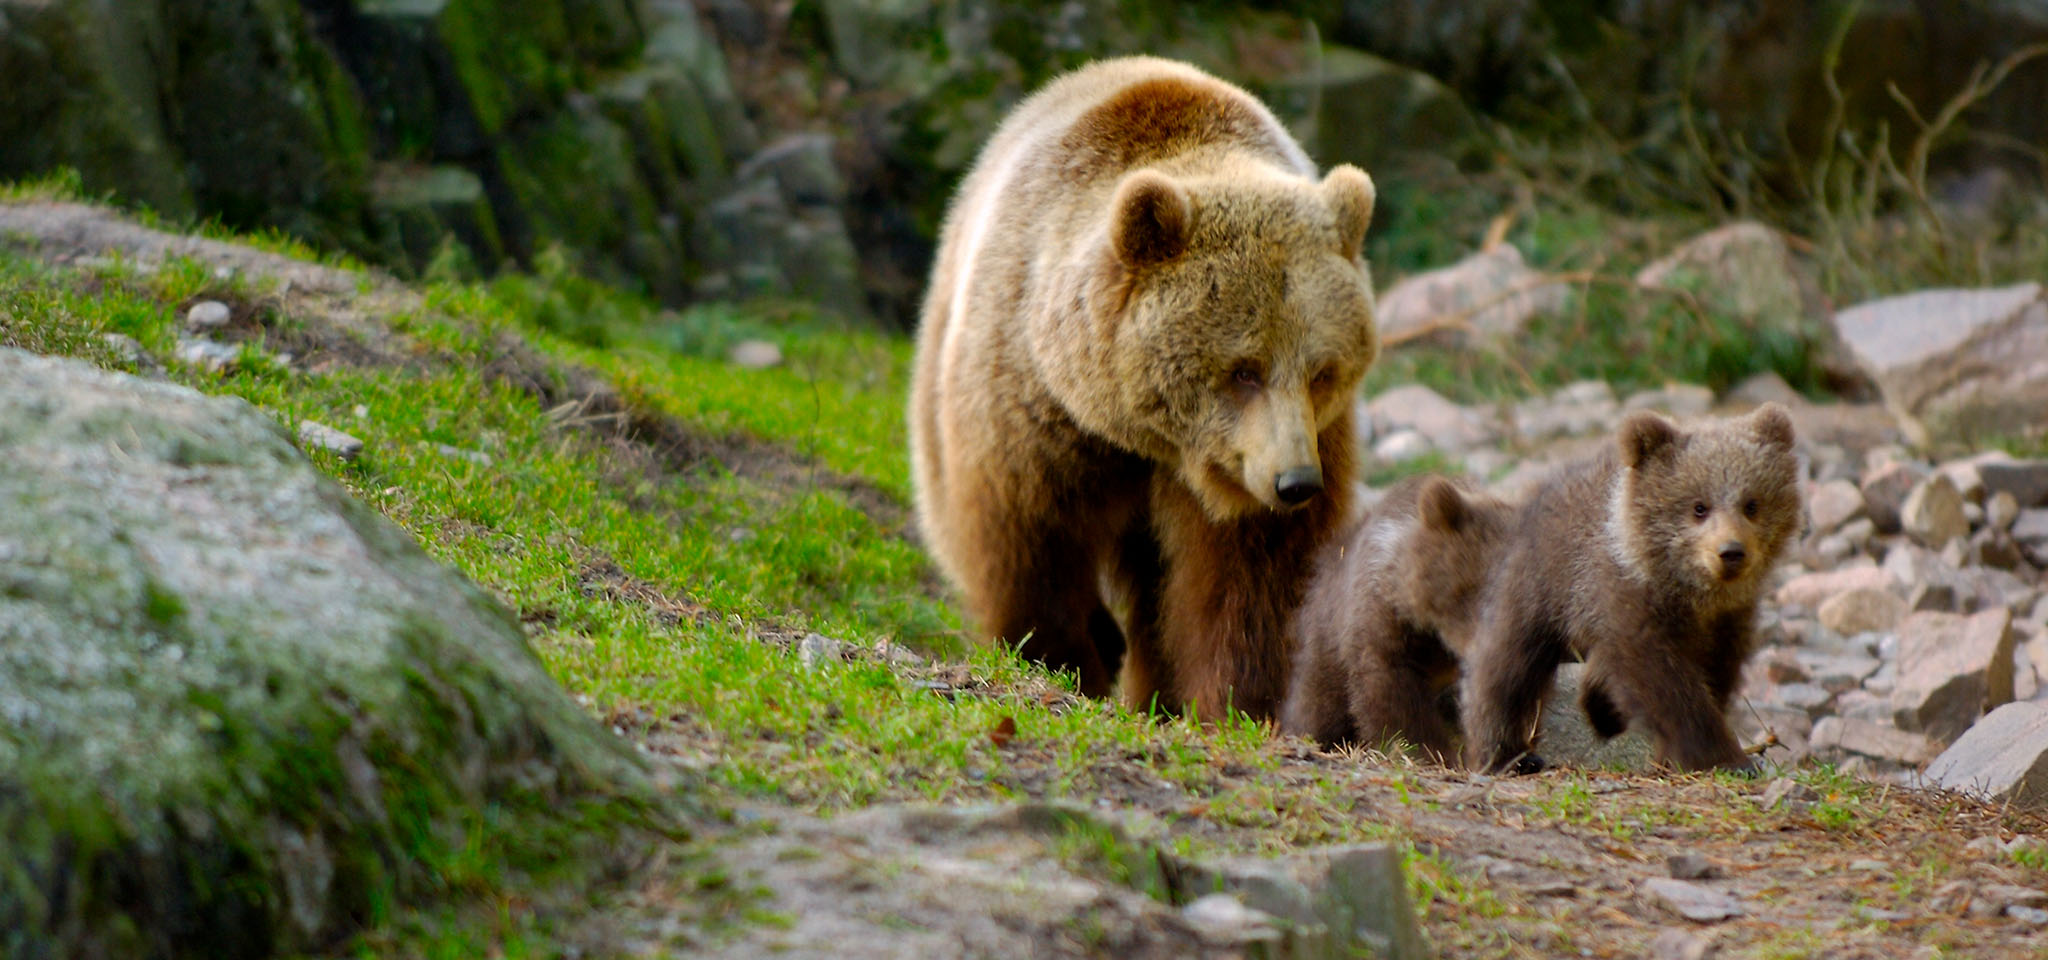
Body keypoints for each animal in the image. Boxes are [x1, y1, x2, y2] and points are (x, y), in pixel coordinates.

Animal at [908, 56, 1380, 722]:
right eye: (1244, 369)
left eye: (1322, 372)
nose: (1295, 483)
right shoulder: (1033, 399)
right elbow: (1026, 535)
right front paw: (1063, 653)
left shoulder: (1277, 454)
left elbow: (1252, 578)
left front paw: (1234, 699)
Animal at [1282, 474, 1517, 762]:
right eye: (1480, 591)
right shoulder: (1381, 619)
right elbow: (1391, 689)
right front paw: (1426, 749)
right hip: (1325, 642)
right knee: (1319, 701)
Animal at [1458, 403, 1803, 774]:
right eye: (1699, 507)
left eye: (1752, 504)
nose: (1731, 551)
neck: (1691, 594)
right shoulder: (1629, 603)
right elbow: (1666, 683)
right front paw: (1723, 756)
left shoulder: (1729, 619)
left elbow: (1716, 673)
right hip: (1539, 583)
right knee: (1507, 669)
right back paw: (1506, 753)